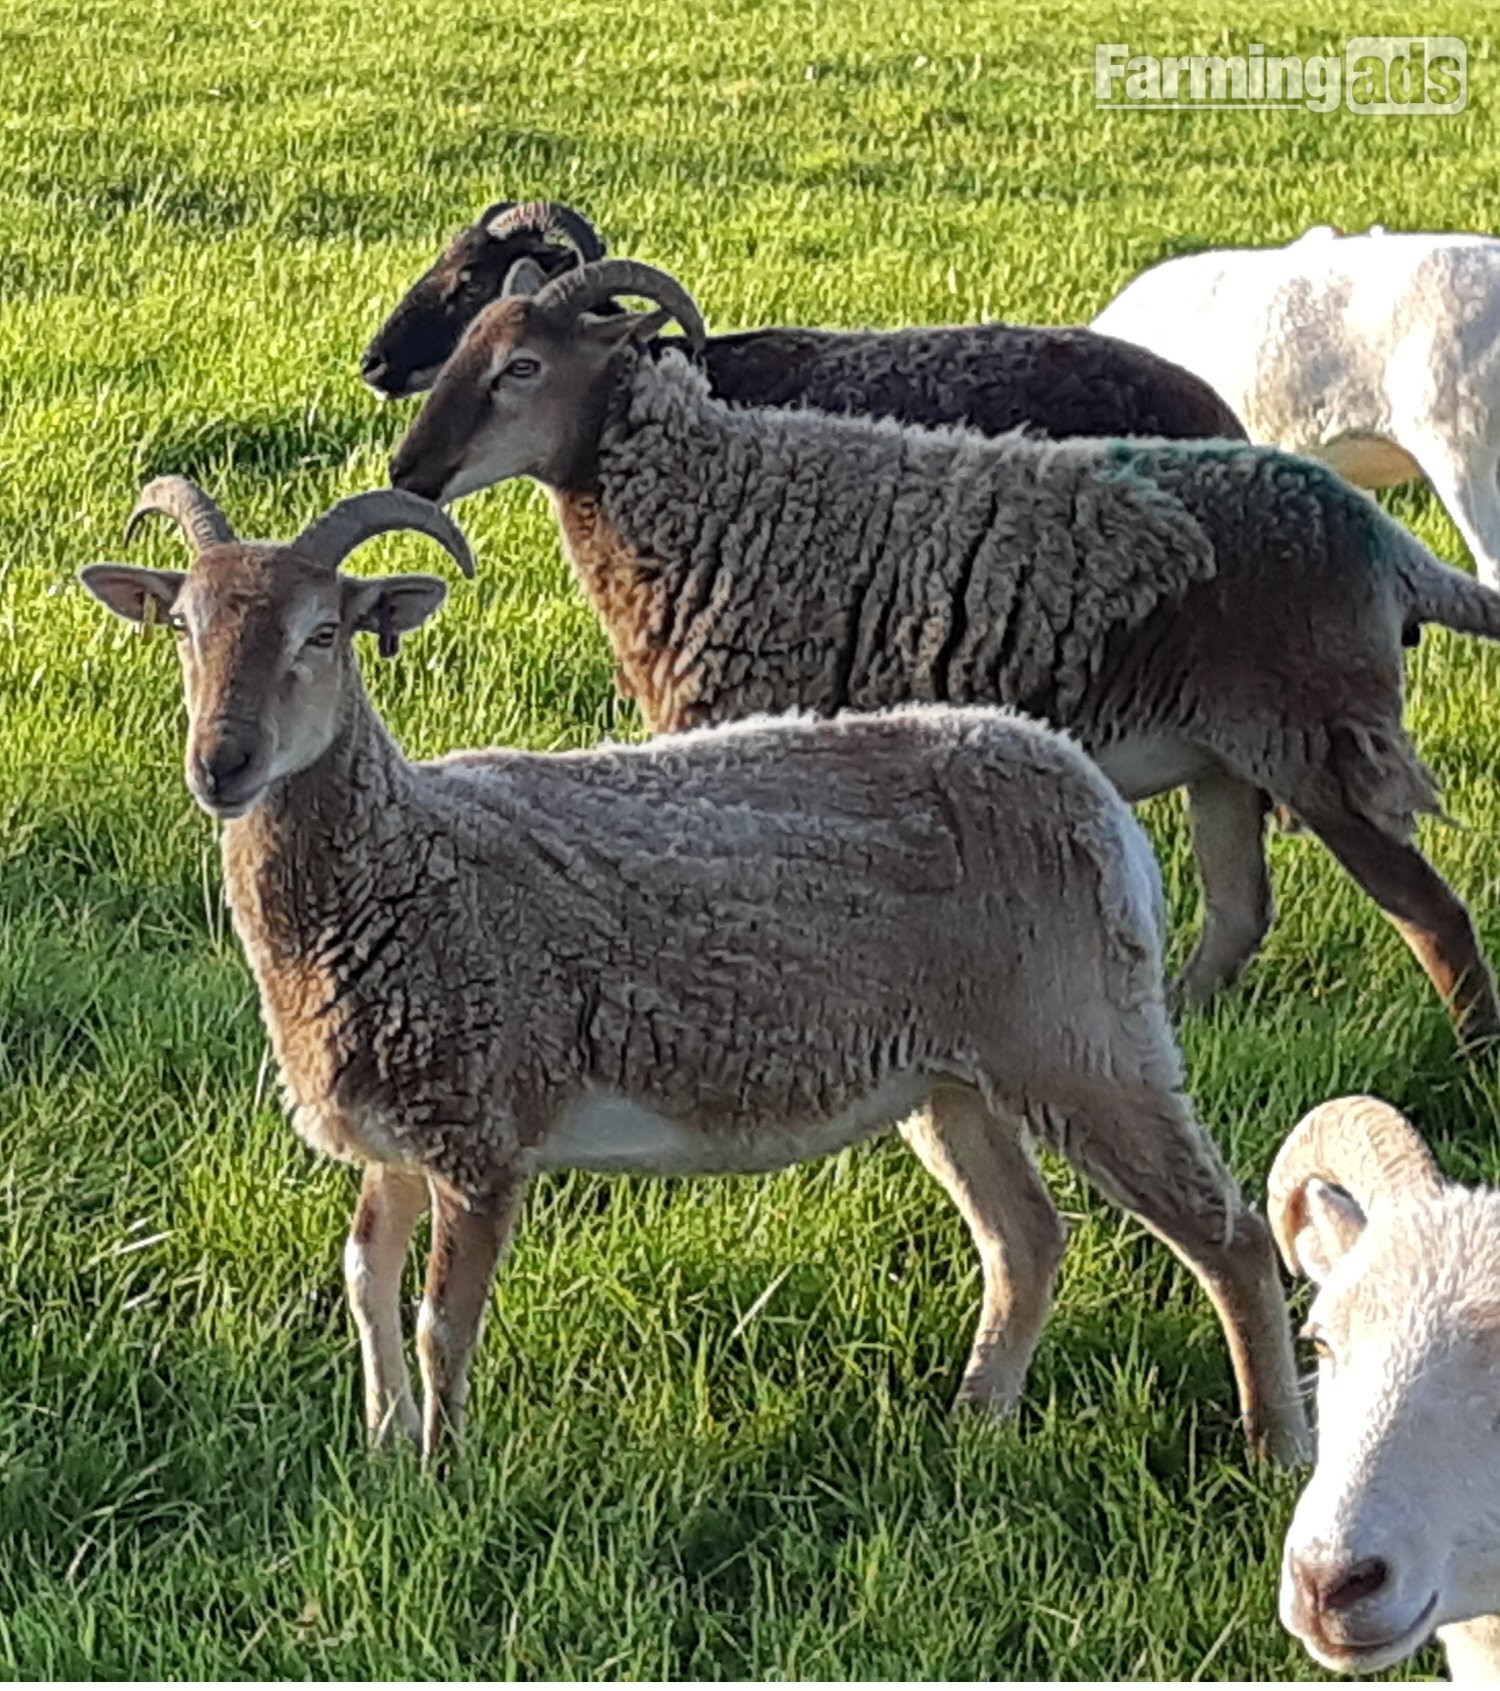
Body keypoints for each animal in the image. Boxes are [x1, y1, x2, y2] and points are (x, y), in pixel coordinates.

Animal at [78, 473, 1312, 1470]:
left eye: (325, 631)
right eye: (182, 625)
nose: (222, 763)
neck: (402, 863)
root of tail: (1088, 792)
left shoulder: (483, 1127)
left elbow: (439, 1321)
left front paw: (443, 1479)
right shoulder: (396, 1123)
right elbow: (364, 1279)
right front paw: (385, 1453)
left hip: (1085, 1037)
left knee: (1231, 1236)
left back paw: (1278, 1450)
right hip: (953, 1074)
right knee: (1027, 1239)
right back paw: (976, 1422)